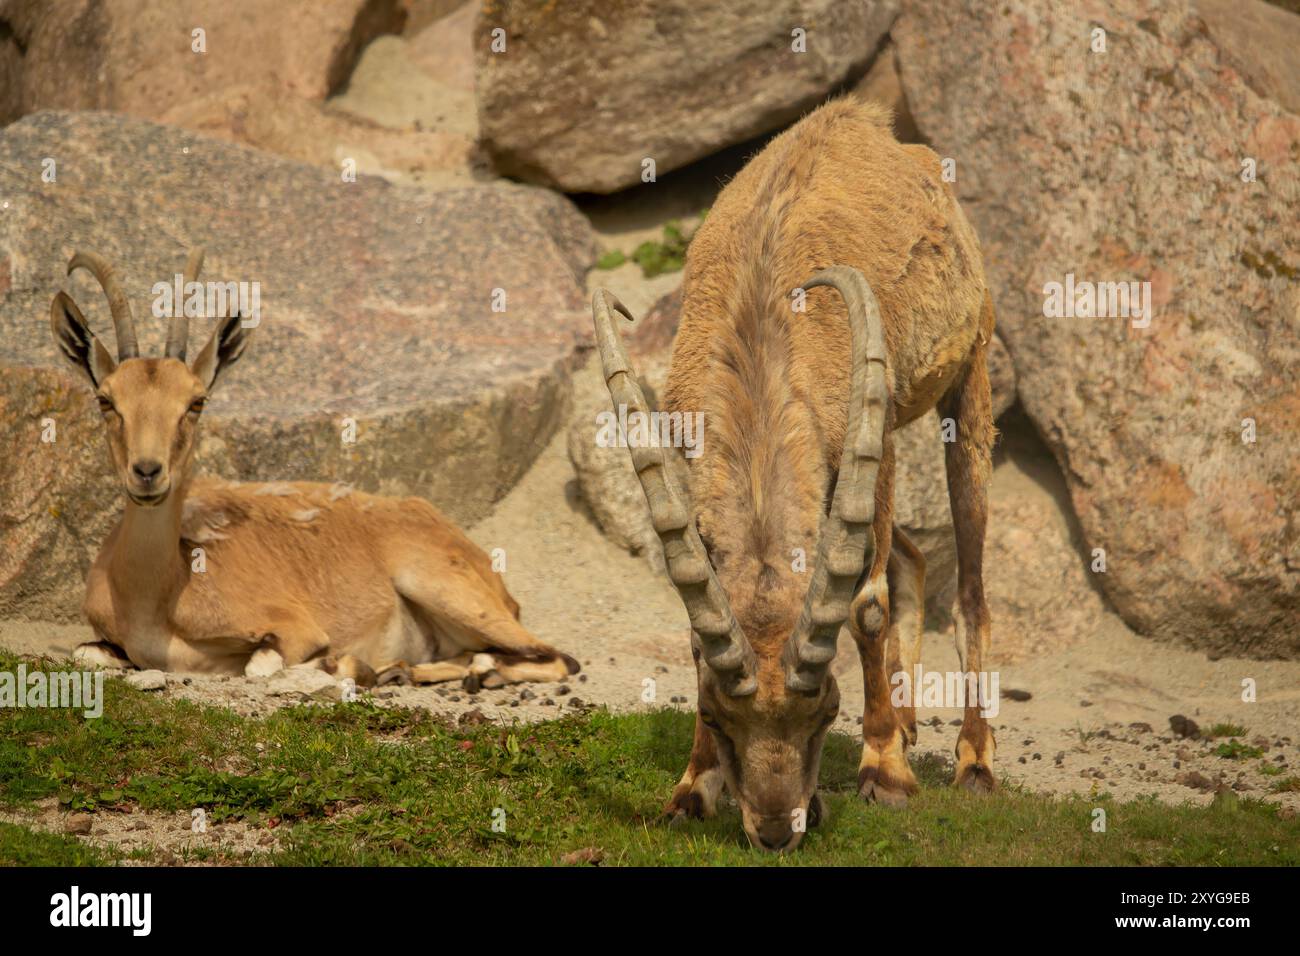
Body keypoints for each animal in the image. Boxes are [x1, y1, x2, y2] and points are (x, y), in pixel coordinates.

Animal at [51, 249, 578, 689]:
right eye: (106, 400)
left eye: (196, 401)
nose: (148, 472)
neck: (156, 592)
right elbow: (84, 653)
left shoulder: (294, 626)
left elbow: (262, 664)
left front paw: (341, 663)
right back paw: (410, 671)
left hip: (441, 585)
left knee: (557, 657)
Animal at [594, 99, 996, 852]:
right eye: (717, 719)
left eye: (825, 714)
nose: (779, 829)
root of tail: (871, 122)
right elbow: (697, 631)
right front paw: (691, 788)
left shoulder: (873, 440)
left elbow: (866, 606)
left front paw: (886, 775)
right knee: (914, 557)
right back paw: (909, 720)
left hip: (970, 373)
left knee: (970, 587)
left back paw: (973, 761)